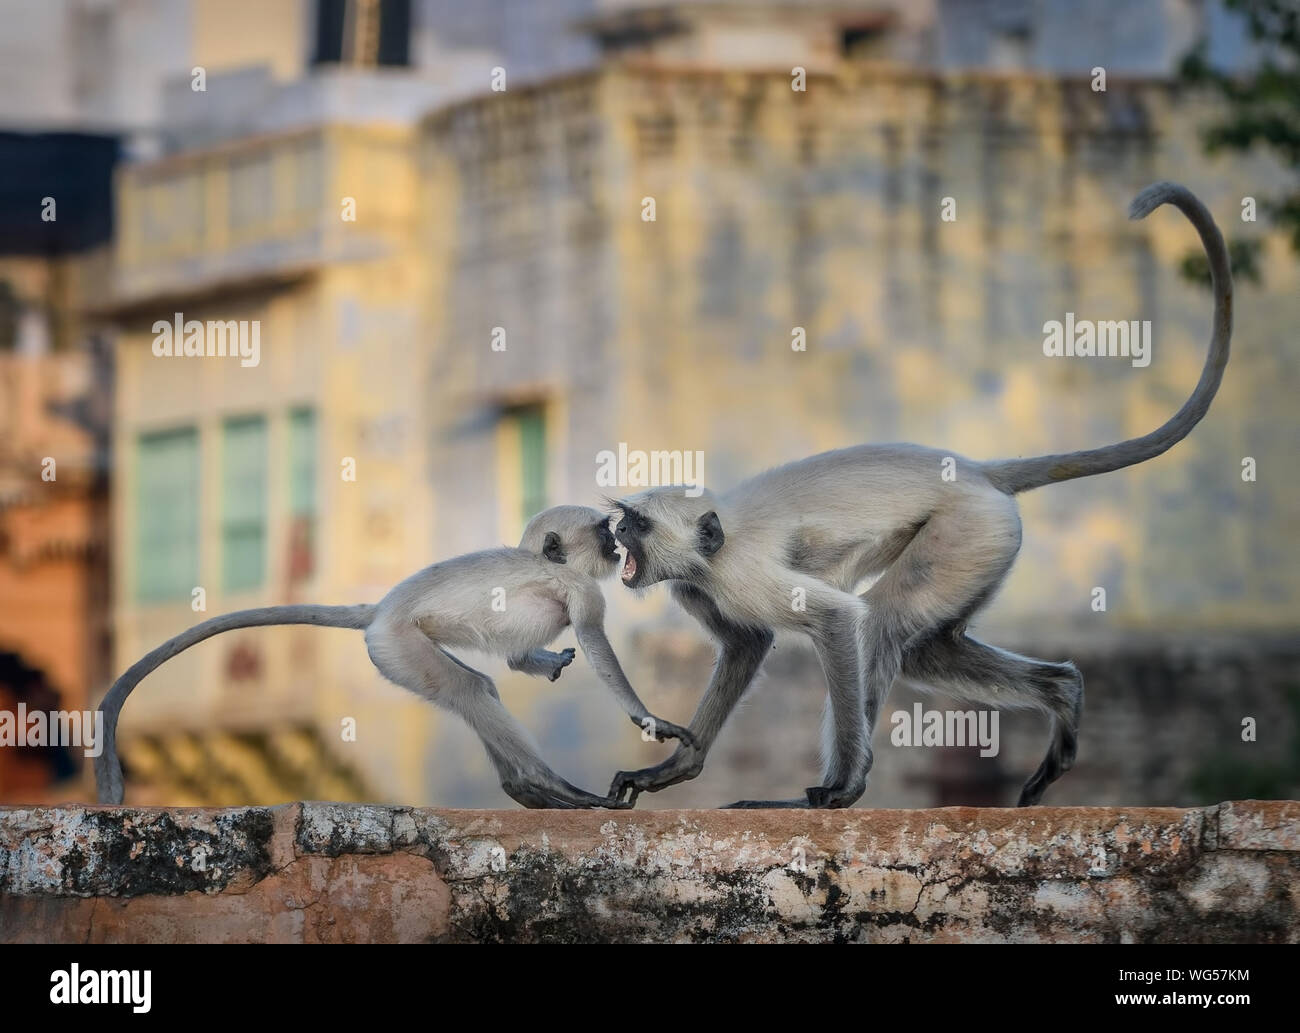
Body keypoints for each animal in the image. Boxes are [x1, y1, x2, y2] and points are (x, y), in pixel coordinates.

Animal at [95, 505, 694, 809]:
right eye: (601, 533)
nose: (617, 543)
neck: (546, 563)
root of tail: (382, 607)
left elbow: (518, 657)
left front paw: (545, 664)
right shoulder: (579, 589)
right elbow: (594, 641)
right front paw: (651, 720)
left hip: (401, 652)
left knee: (479, 689)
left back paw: (525, 790)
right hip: (398, 646)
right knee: (469, 690)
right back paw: (544, 784)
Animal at [605, 182, 1231, 810]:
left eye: (638, 523)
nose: (617, 531)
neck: (717, 538)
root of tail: (979, 471)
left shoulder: (737, 574)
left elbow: (836, 619)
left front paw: (838, 788)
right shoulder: (697, 585)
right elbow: (747, 644)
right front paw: (673, 768)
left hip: (966, 533)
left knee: (880, 623)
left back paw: (845, 788)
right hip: (979, 550)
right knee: (926, 645)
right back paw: (1063, 693)